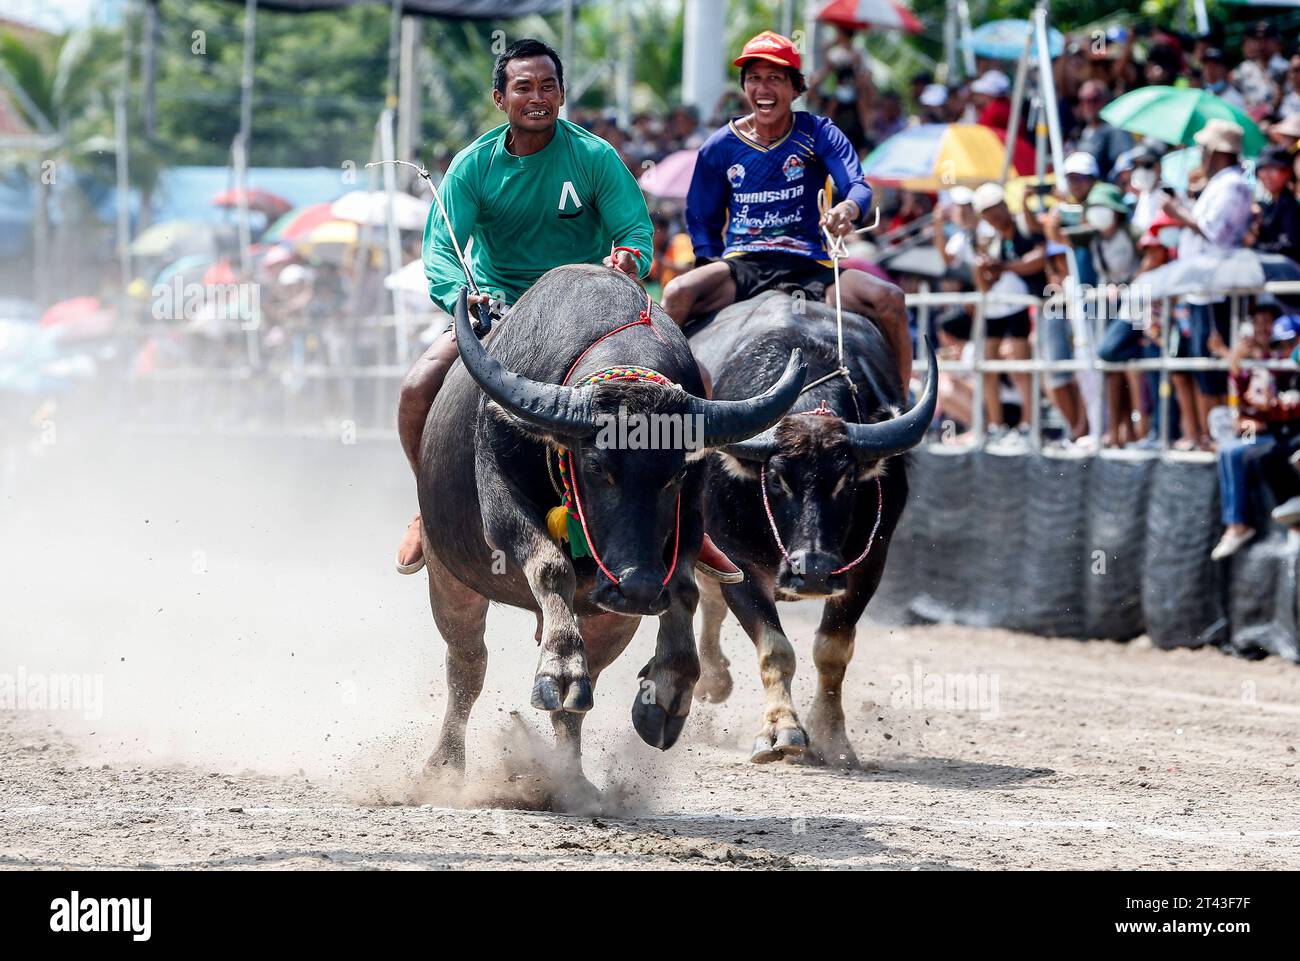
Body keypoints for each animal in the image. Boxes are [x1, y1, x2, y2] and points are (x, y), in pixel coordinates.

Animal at [416, 265, 805, 806]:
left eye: (675, 474)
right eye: (597, 465)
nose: (636, 587)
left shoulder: (687, 522)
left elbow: (683, 589)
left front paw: (667, 693)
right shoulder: (501, 508)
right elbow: (550, 567)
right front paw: (558, 668)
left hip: (606, 617)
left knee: (579, 698)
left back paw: (572, 780)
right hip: (450, 577)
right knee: (467, 668)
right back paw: (445, 769)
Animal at [687, 291, 936, 767]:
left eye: (846, 480)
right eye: (776, 478)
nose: (815, 571)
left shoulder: (868, 566)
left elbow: (832, 651)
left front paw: (831, 736)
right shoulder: (739, 559)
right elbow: (775, 650)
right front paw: (780, 730)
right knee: (708, 595)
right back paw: (710, 679)